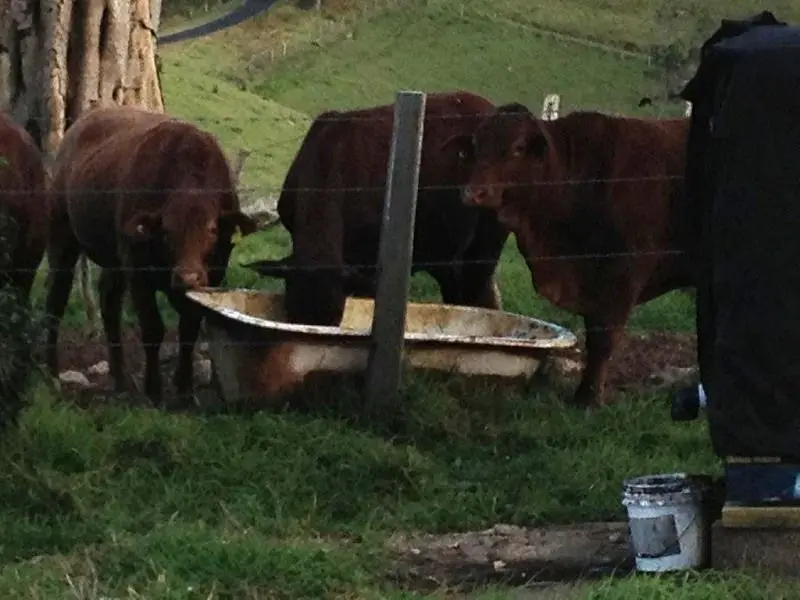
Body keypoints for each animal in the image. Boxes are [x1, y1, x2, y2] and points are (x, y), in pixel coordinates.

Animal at [44, 105, 258, 407]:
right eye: (166, 231)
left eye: (212, 229)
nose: (187, 277)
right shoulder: (139, 275)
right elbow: (153, 329)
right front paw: (155, 390)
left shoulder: (211, 278)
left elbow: (189, 329)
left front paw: (185, 390)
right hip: (62, 238)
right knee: (56, 301)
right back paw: (51, 371)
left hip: (114, 262)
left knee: (109, 301)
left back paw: (121, 377)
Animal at [446, 104, 693, 407]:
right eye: (477, 145)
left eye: (518, 148)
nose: (474, 193)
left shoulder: (623, 276)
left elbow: (603, 340)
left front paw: (588, 398)